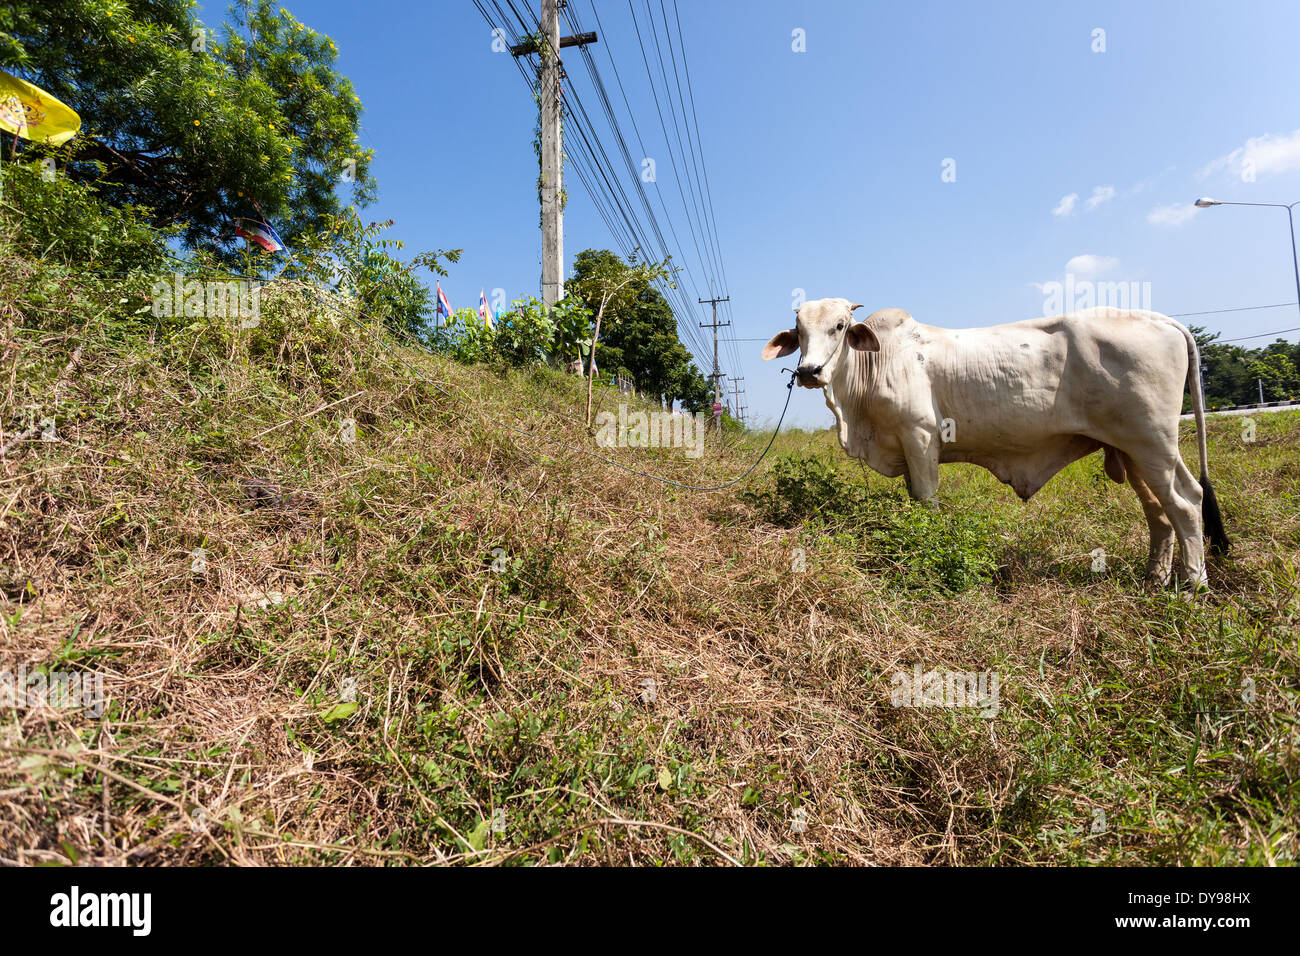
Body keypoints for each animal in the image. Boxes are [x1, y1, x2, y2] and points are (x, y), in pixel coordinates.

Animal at [762, 298, 1230, 588]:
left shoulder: (921, 438)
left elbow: (927, 501)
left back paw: (1192, 587)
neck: (873, 367)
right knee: (1161, 512)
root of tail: (1163, 320)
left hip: (1152, 443)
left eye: (840, 326)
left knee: (1186, 503)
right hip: (1135, 451)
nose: (808, 371)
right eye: (799, 330)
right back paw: (1155, 578)